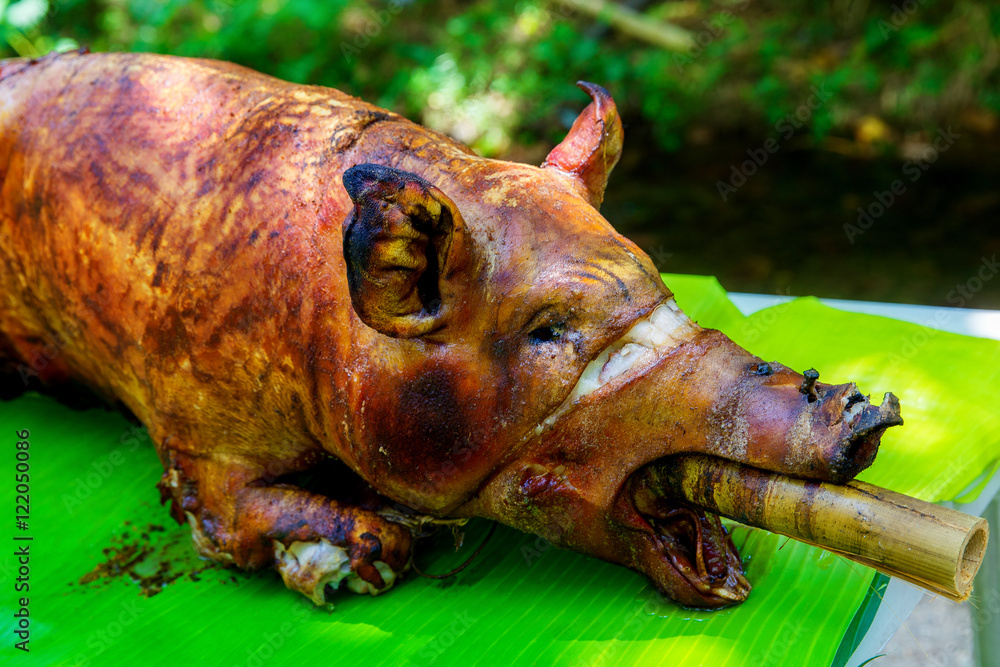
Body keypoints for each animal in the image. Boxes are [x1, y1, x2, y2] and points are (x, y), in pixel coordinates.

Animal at [0, 50, 902, 609]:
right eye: (548, 330)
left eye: (658, 283)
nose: (866, 412)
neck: (318, 324)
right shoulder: (193, 421)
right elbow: (217, 516)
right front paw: (379, 548)